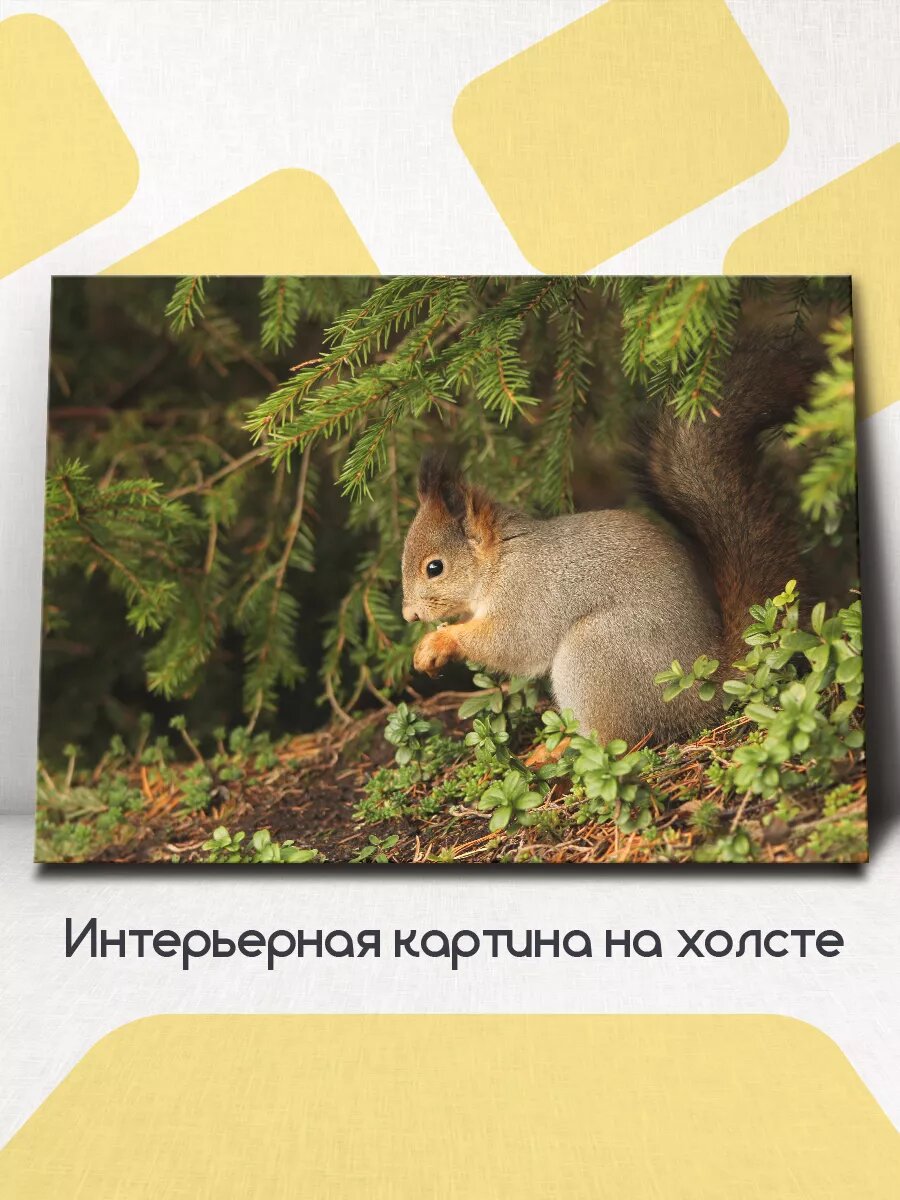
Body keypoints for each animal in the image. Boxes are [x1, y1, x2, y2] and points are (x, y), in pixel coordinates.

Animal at [400, 339, 819, 746]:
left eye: (435, 568)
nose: (409, 616)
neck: (501, 560)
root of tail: (700, 688)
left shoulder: (528, 595)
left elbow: (514, 642)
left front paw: (439, 643)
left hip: (597, 652)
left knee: (612, 740)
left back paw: (554, 754)